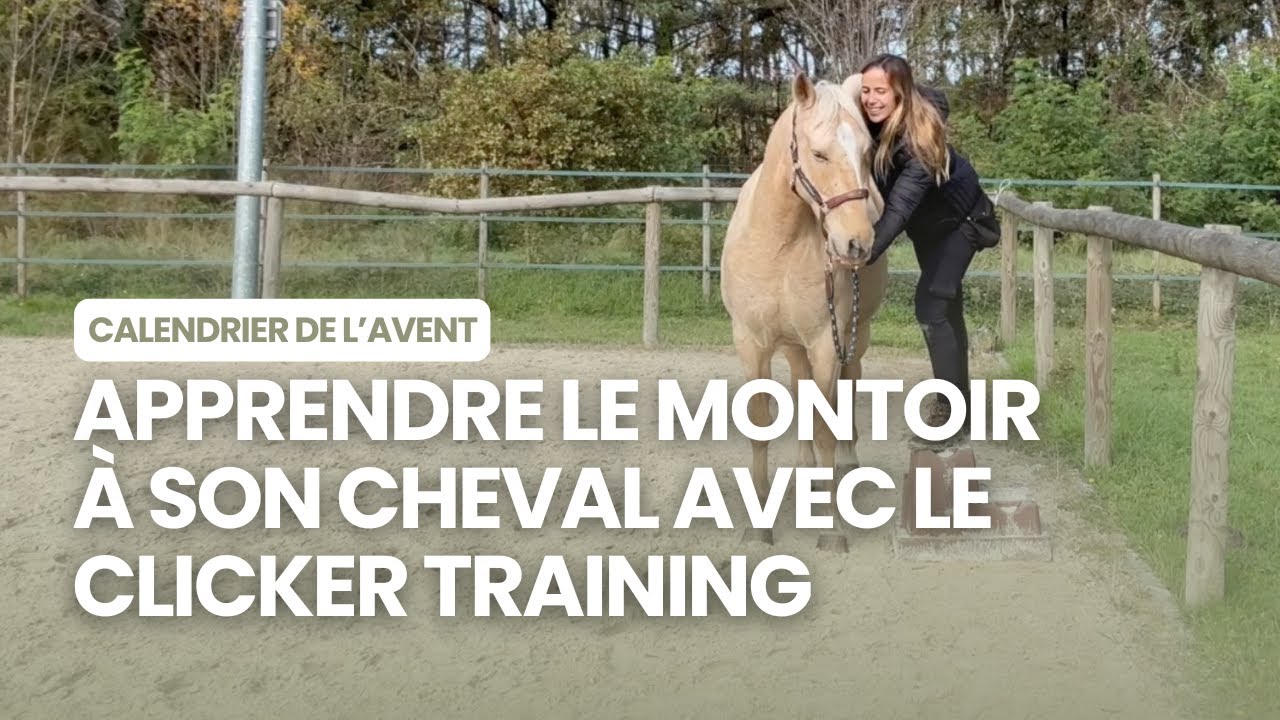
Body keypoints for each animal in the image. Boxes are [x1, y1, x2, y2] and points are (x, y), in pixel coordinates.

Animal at [719, 71, 890, 553]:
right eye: (818, 153)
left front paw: (832, 530)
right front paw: (759, 524)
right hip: (795, 347)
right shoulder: (750, 343)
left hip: (854, 337)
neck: (778, 242)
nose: (856, 244)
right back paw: (804, 469)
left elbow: (827, 427)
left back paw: (846, 466)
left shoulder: (826, 344)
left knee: (847, 391)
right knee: (801, 390)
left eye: (867, 152)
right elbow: (761, 422)